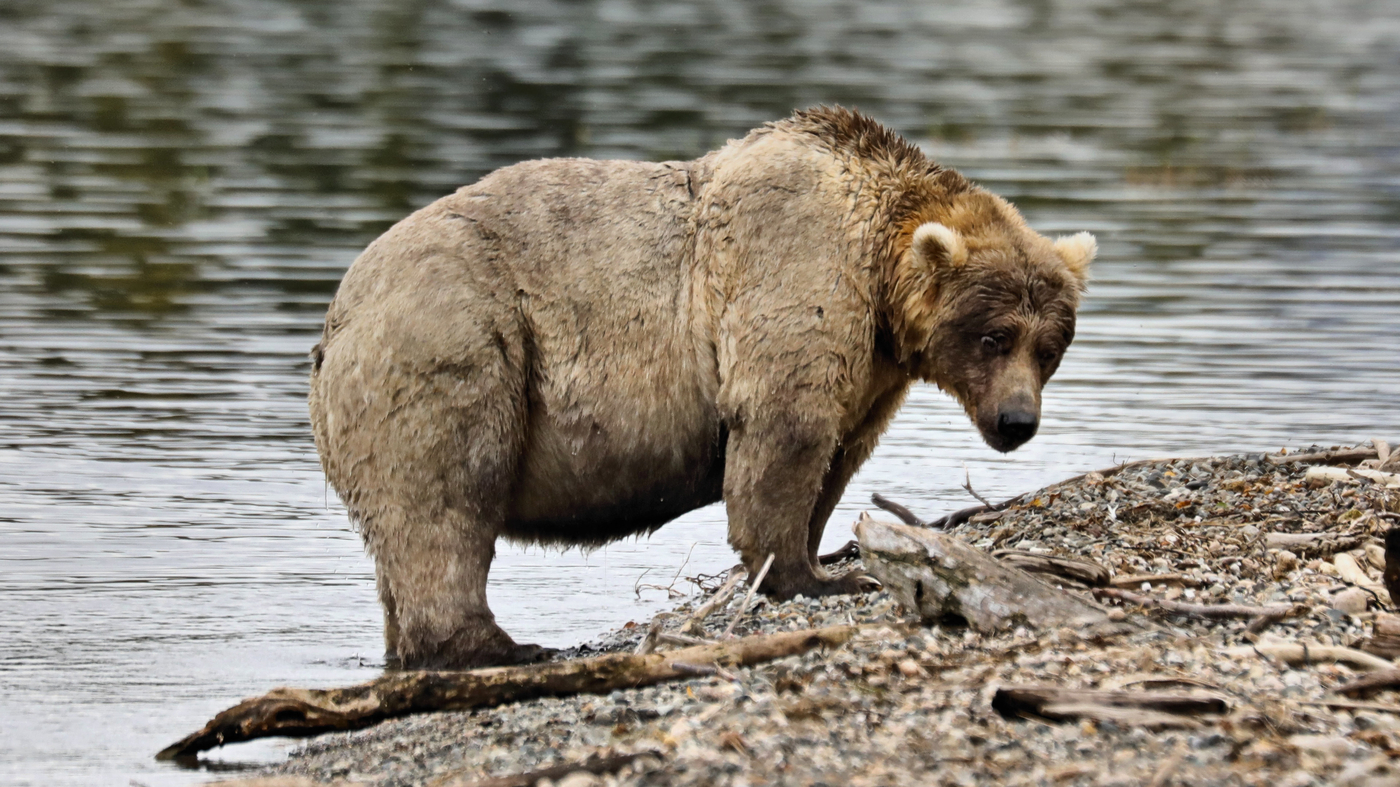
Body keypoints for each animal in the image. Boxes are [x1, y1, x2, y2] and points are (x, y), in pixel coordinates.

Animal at [307, 106, 1095, 670]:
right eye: (993, 336)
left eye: (1050, 345)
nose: (1017, 420)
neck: (879, 278)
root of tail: (337, 315)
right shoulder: (794, 269)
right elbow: (784, 428)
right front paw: (813, 575)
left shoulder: (873, 369)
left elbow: (837, 453)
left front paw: (823, 555)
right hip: (455, 343)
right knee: (446, 498)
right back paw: (500, 646)